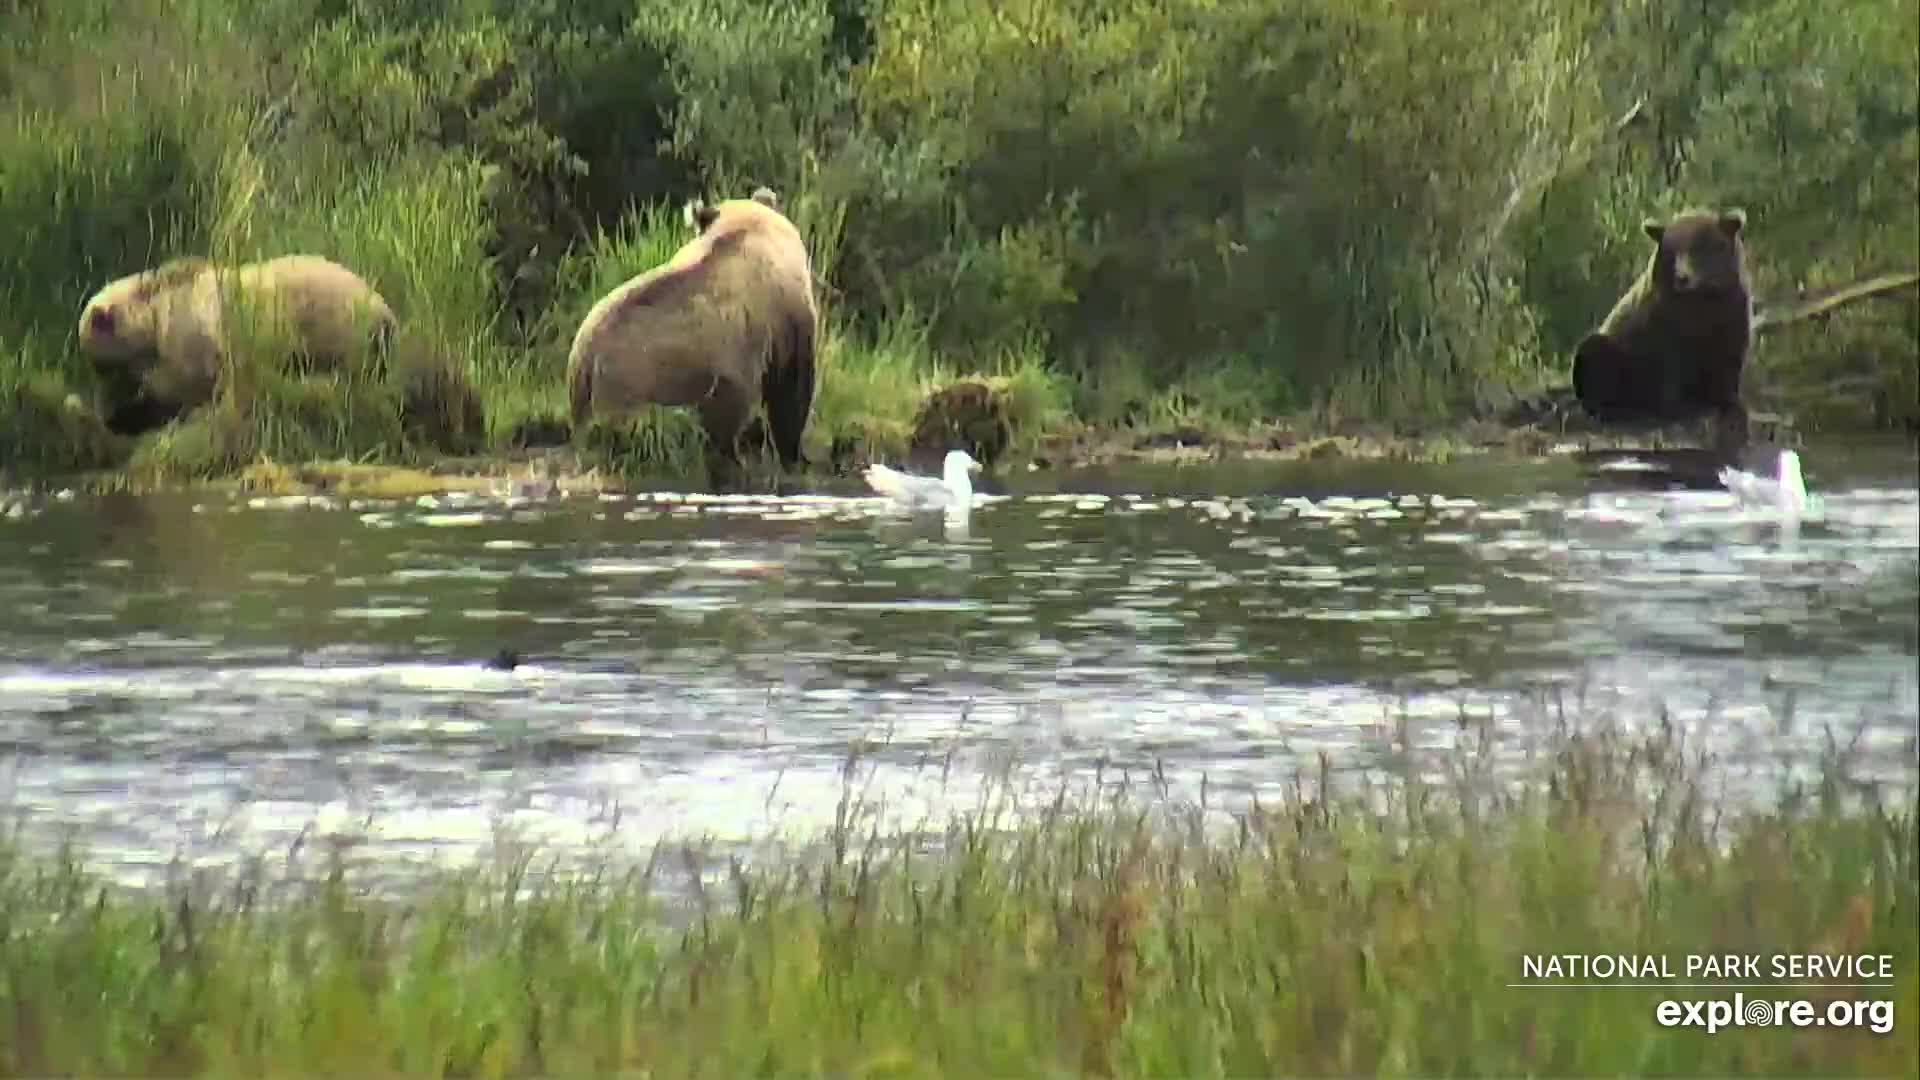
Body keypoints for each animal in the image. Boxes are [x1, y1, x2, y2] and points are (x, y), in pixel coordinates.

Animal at [77, 254, 398, 435]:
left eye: (99, 365)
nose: (104, 406)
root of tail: (384, 306)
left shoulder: (189, 337)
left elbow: (183, 388)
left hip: (337, 324)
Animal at [566, 187, 818, 476]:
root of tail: (583, 357)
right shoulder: (782, 320)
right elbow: (791, 391)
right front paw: (792, 453)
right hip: (636, 380)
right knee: (646, 433)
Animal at [1572, 208, 1754, 433]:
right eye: (1673, 251)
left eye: (1699, 248)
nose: (1682, 278)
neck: (1699, 299)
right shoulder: (1663, 322)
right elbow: (1669, 366)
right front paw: (1678, 408)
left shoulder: (1730, 314)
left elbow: (1728, 360)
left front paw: (1729, 403)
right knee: (1595, 357)